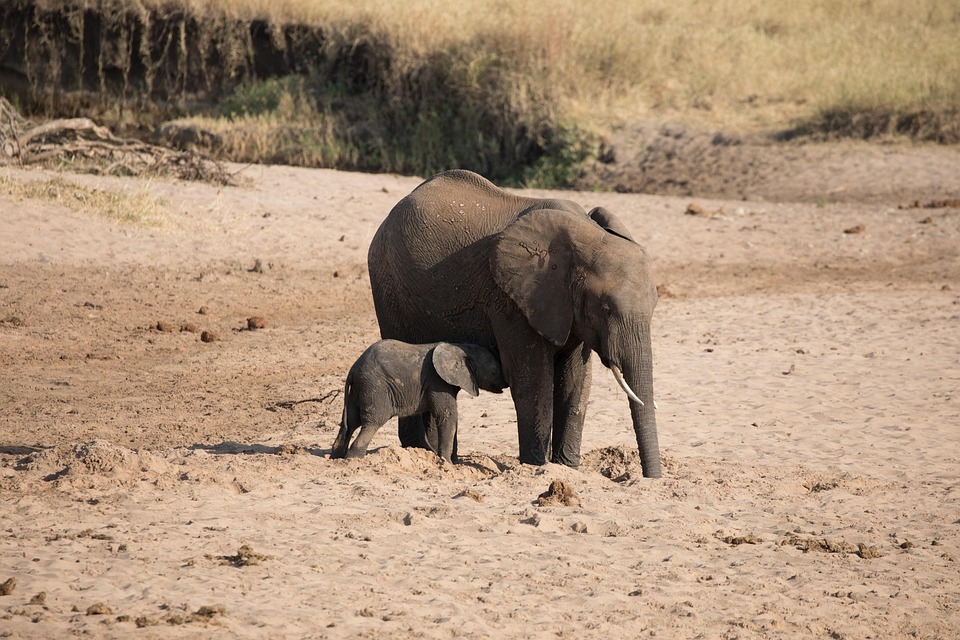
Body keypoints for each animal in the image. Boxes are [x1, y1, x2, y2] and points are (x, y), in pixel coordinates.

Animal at [330, 340, 506, 462]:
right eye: (494, 372)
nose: (506, 383)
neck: (461, 346)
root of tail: (353, 369)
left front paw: (439, 458)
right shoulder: (437, 381)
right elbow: (447, 416)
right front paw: (446, 462)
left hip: (358, 390)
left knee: (351, 422)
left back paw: (336, 457)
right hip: (375, 387)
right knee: (372, 422)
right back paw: (354, 459)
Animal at [367, 170, 662, 478]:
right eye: (605, 309)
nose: (649, 479)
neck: (586, 236)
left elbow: (575, 383)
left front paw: (566, 469)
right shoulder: (512, 301)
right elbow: (532, 381)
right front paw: (537, 467)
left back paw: (443, 458)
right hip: (388, 283)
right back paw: (420, 453)